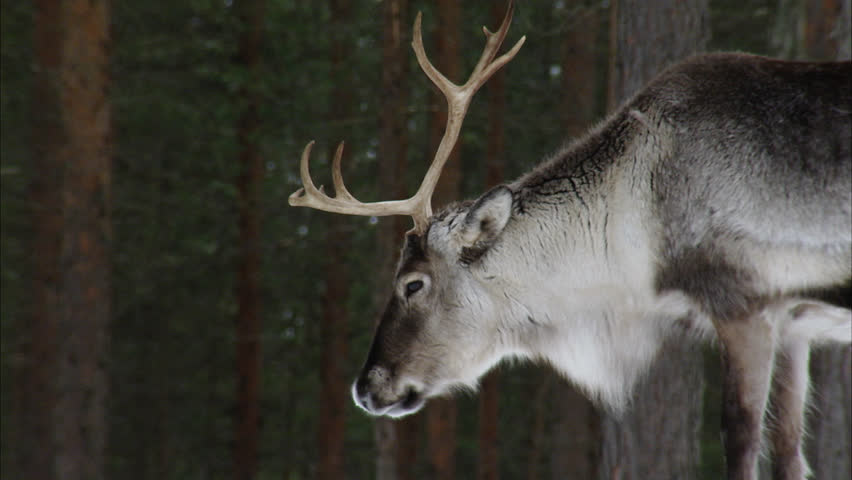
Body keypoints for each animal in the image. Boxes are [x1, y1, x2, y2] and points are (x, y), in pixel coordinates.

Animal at [289, 3, 851, 479]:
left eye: (413, 283)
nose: (366, 386)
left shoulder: (745, 303)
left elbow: (741, 441)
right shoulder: (796, 323)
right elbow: (789, 454)